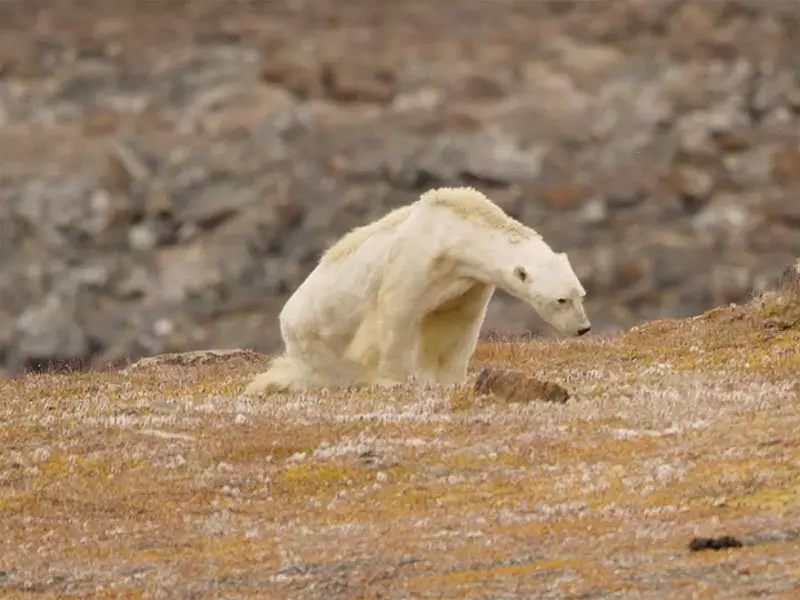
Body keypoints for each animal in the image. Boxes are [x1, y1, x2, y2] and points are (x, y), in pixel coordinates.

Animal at [247, 185, 592, 396]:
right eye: (561, 300)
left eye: (581, 294)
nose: (583, 328)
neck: (457, 230)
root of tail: (284, 316)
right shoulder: (417, 259)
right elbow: (396, 312)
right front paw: (392, 380)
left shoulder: (468, 281)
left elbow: (455, 322)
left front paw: (449, 378)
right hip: (317, 337)